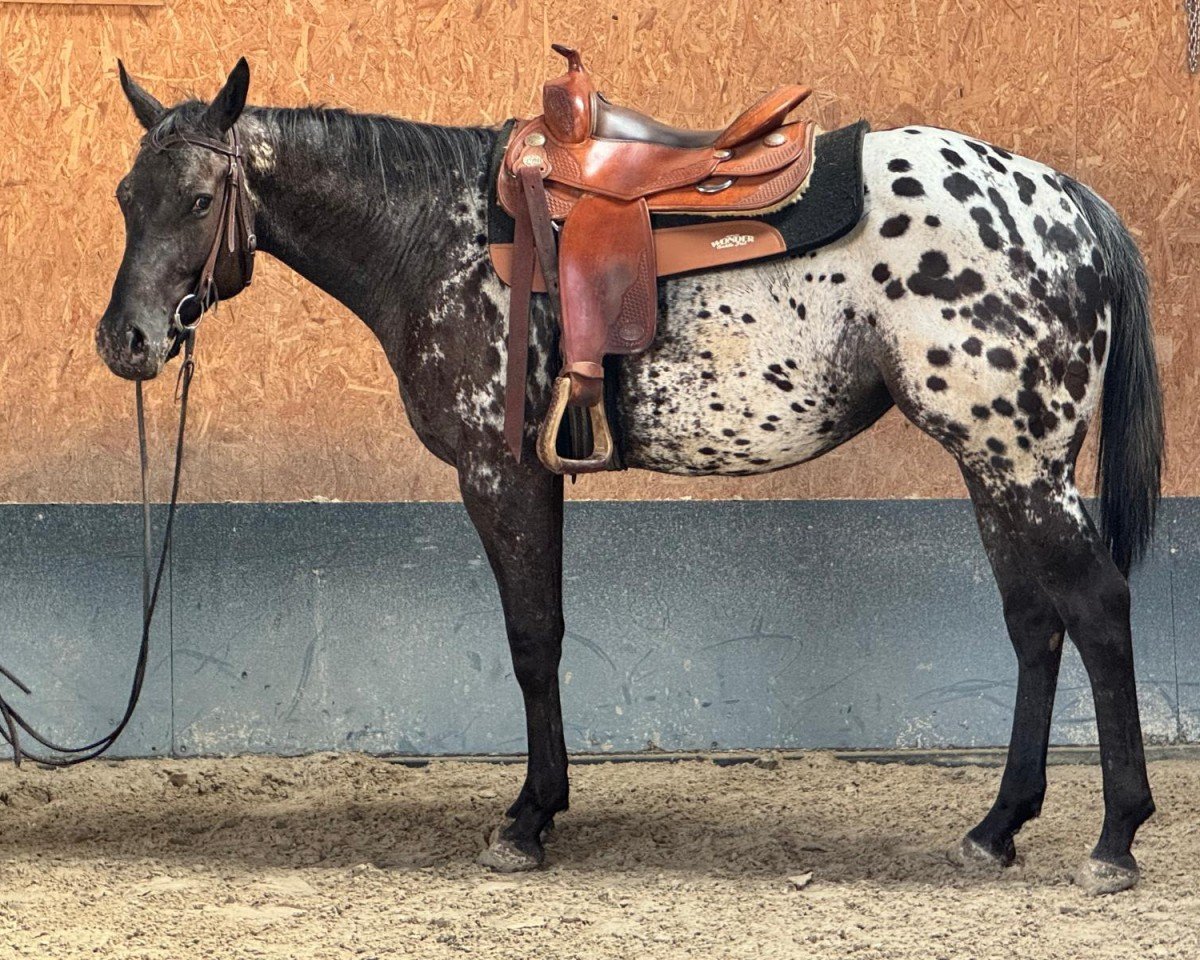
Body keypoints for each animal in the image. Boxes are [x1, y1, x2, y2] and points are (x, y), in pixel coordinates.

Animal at [95, 59, 1164, 895]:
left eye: (199, 200)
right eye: (123, 199)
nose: (127, 342)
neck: (439, 231)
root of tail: (1069, 205)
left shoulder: (501, 473)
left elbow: (532, 638)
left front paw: (526, 821)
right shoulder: (538, 474)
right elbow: (548, 634)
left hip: (1021, 463)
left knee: (1100, 609)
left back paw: (1114, 841)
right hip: (996, 466)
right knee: (1035, 625)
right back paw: (997, 828)